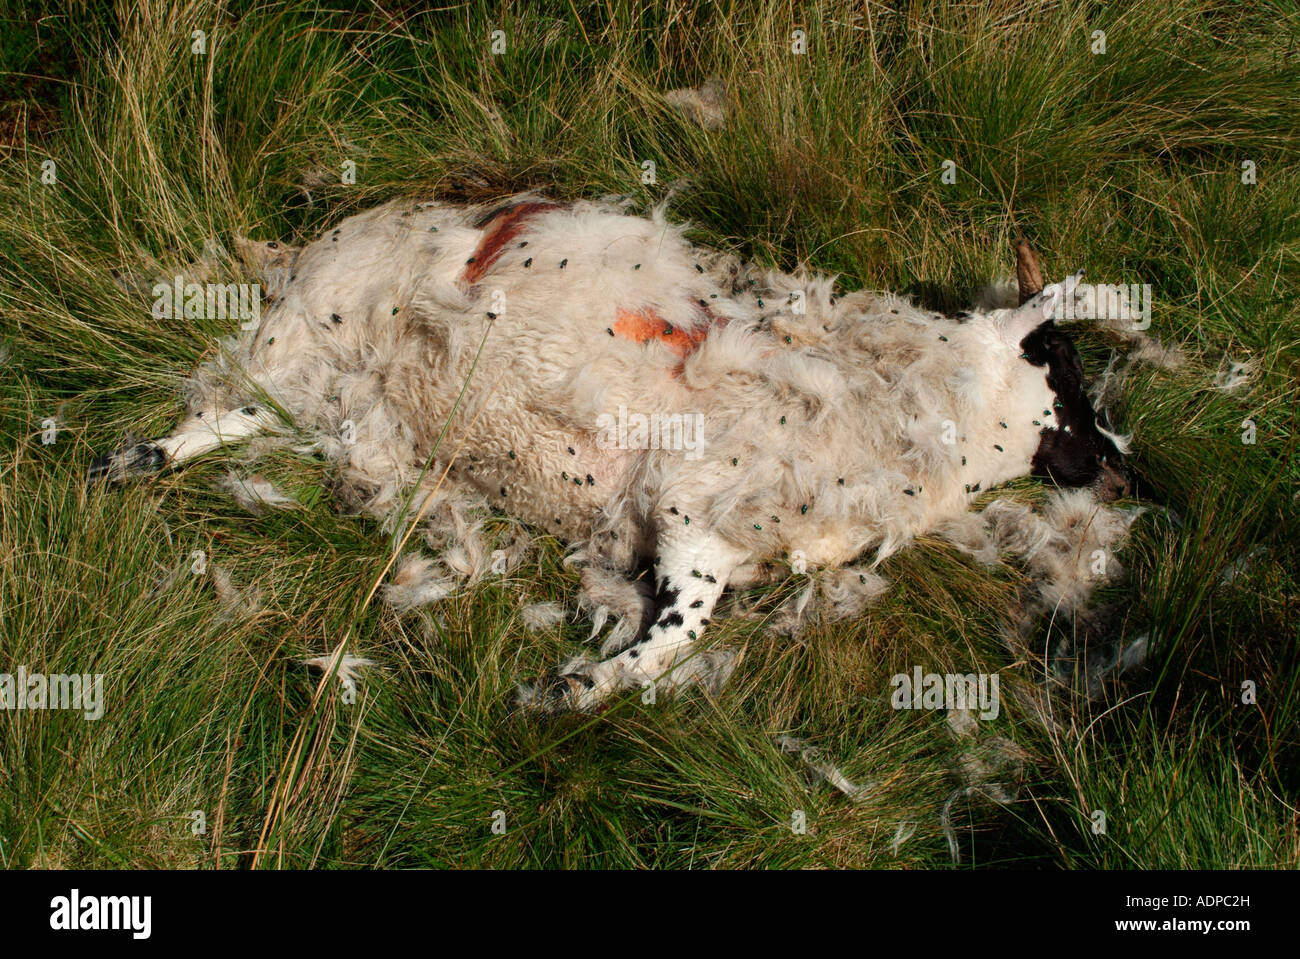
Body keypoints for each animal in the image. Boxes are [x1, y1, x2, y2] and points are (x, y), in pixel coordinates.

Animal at [88, 195, 1133, 710]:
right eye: (1064, 361)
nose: (1123, 464)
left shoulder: (719, 542)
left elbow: (684, 634)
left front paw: (579, 684)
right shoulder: (688, 503)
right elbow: (677, 638)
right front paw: (577, 687)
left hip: (355, 394)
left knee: (246, 422)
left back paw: (136, 462)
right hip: (317, 332)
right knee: (235, 400)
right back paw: (131, 459)